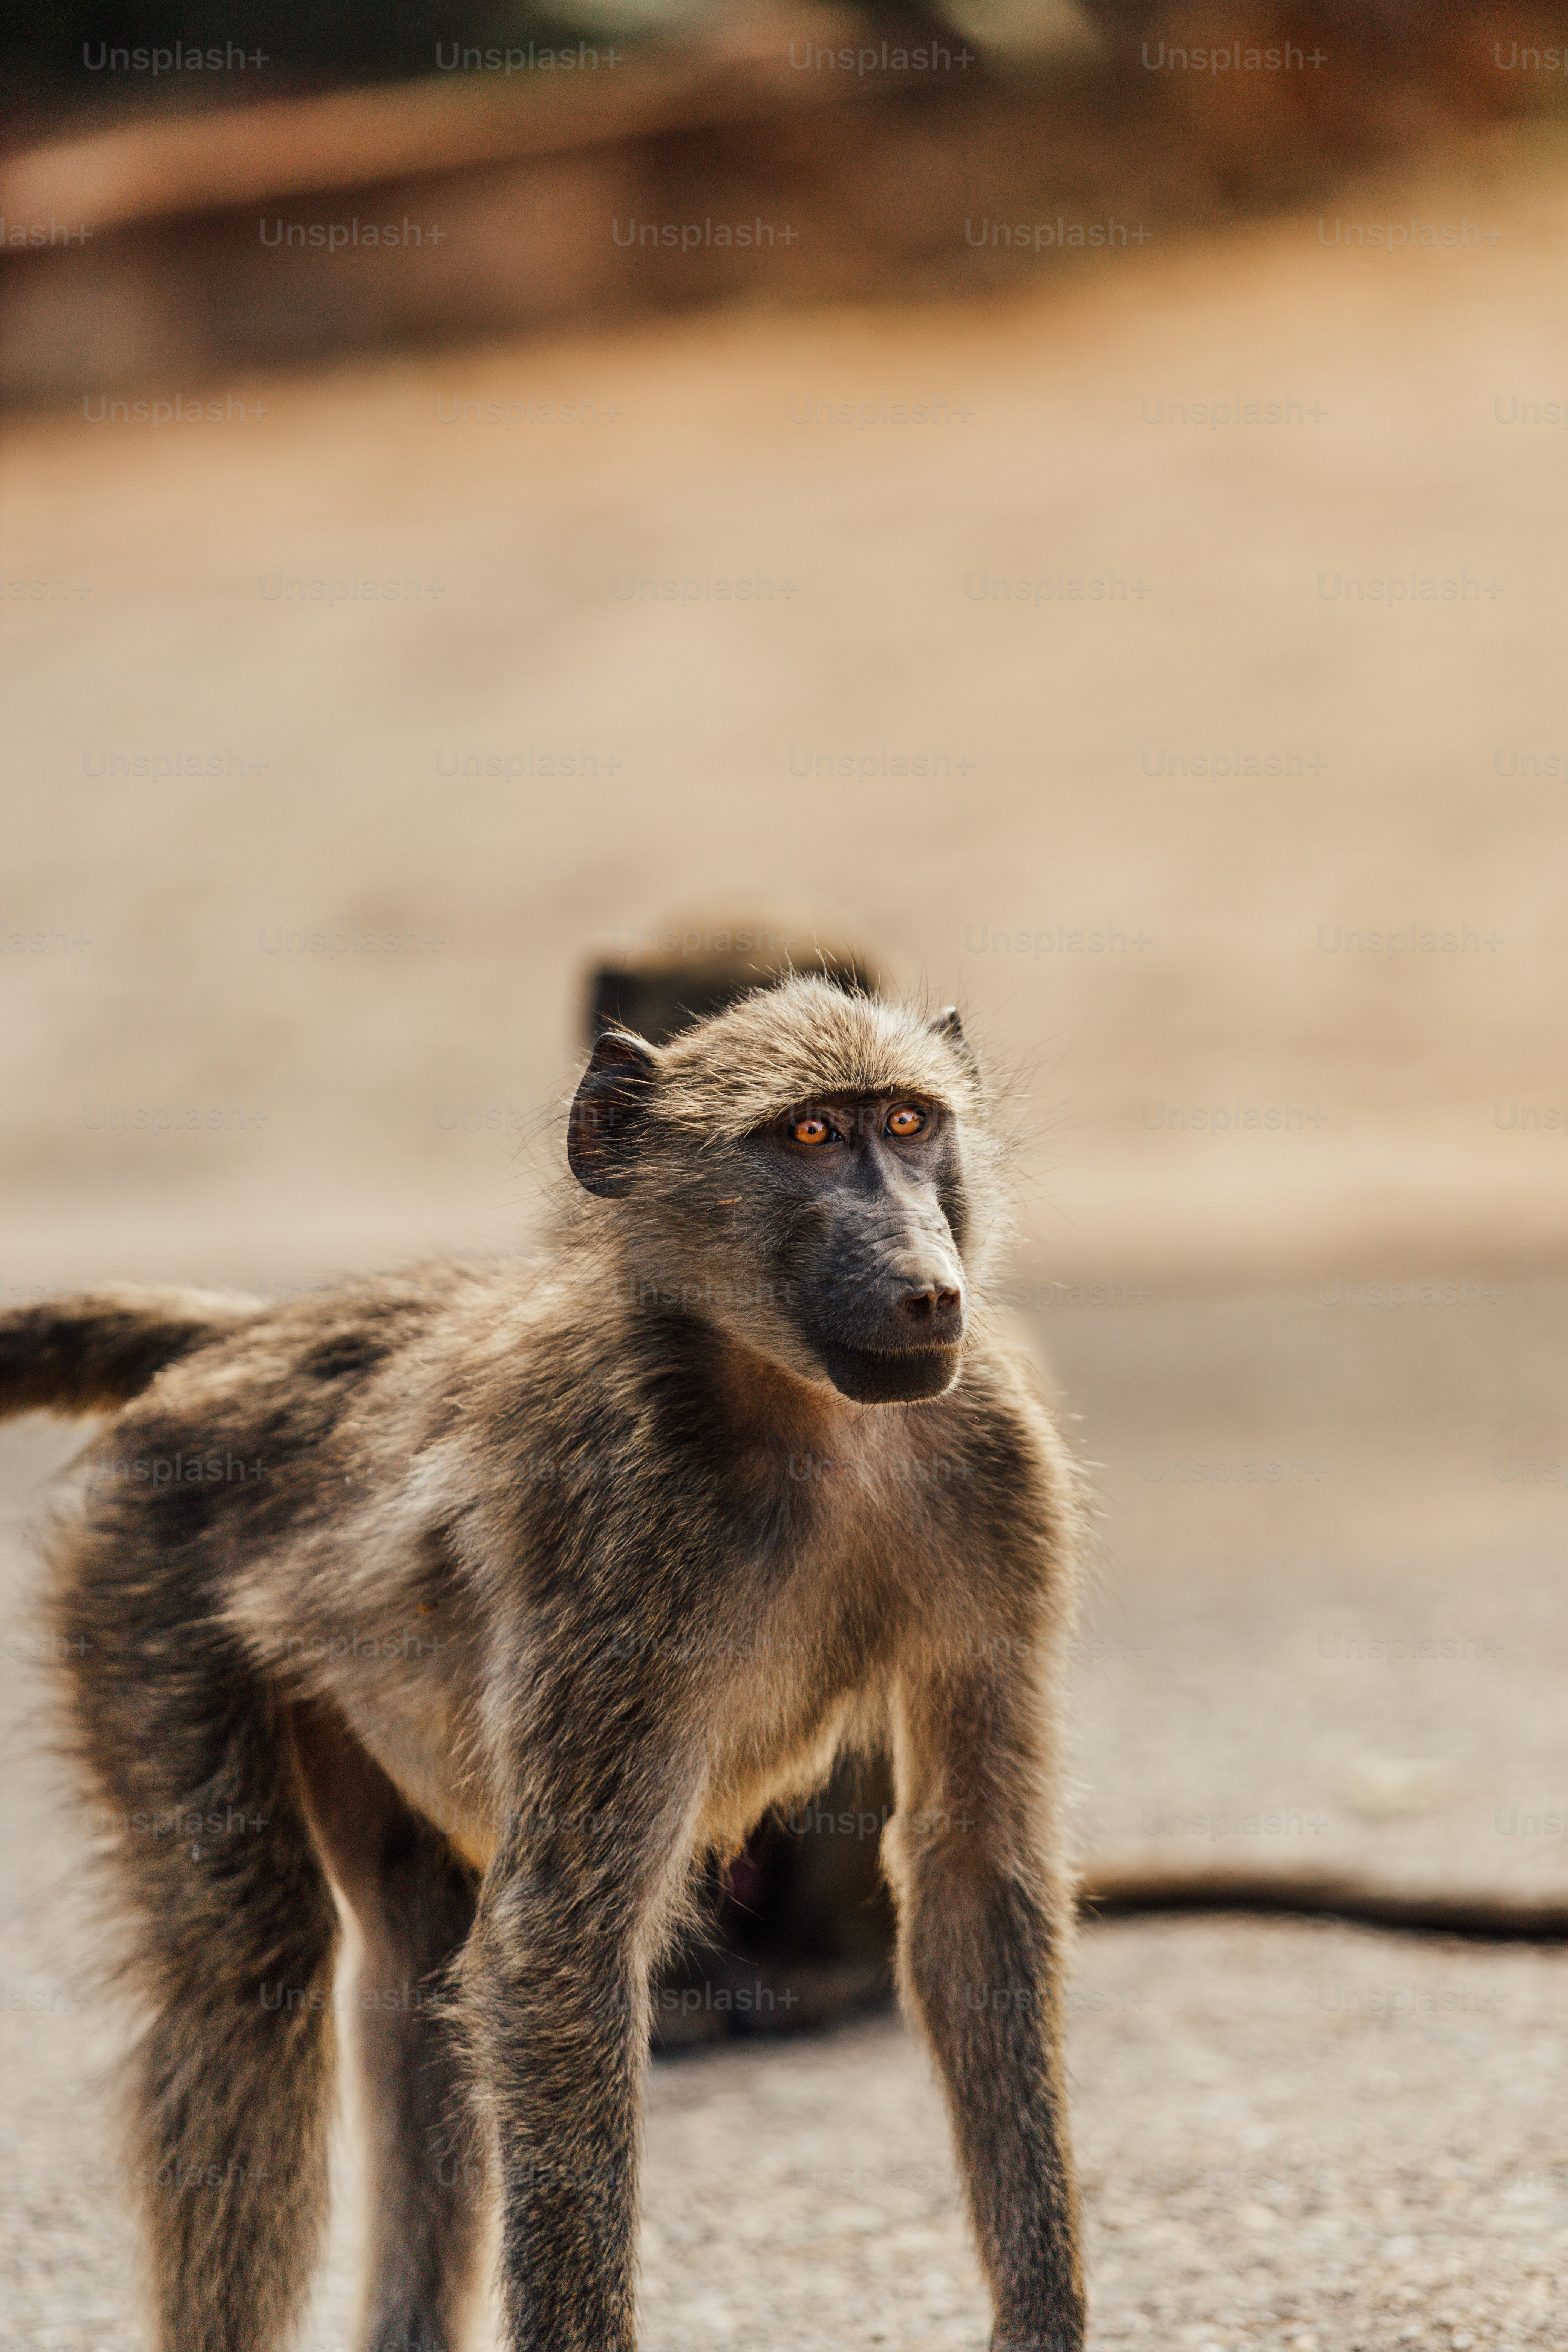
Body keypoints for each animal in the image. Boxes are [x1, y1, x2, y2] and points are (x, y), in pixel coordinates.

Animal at [2, 976, 1087, 2352]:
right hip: (148, 1577)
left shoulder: (996, 1457)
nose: (925, 1289)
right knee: (250, 1973)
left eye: (907, 1122)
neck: (803, 1407)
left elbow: (970, 1875)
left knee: (413, 1967)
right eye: (807, 1138)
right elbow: (557, 1947)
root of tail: (254, 1339)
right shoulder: (625, 1521)